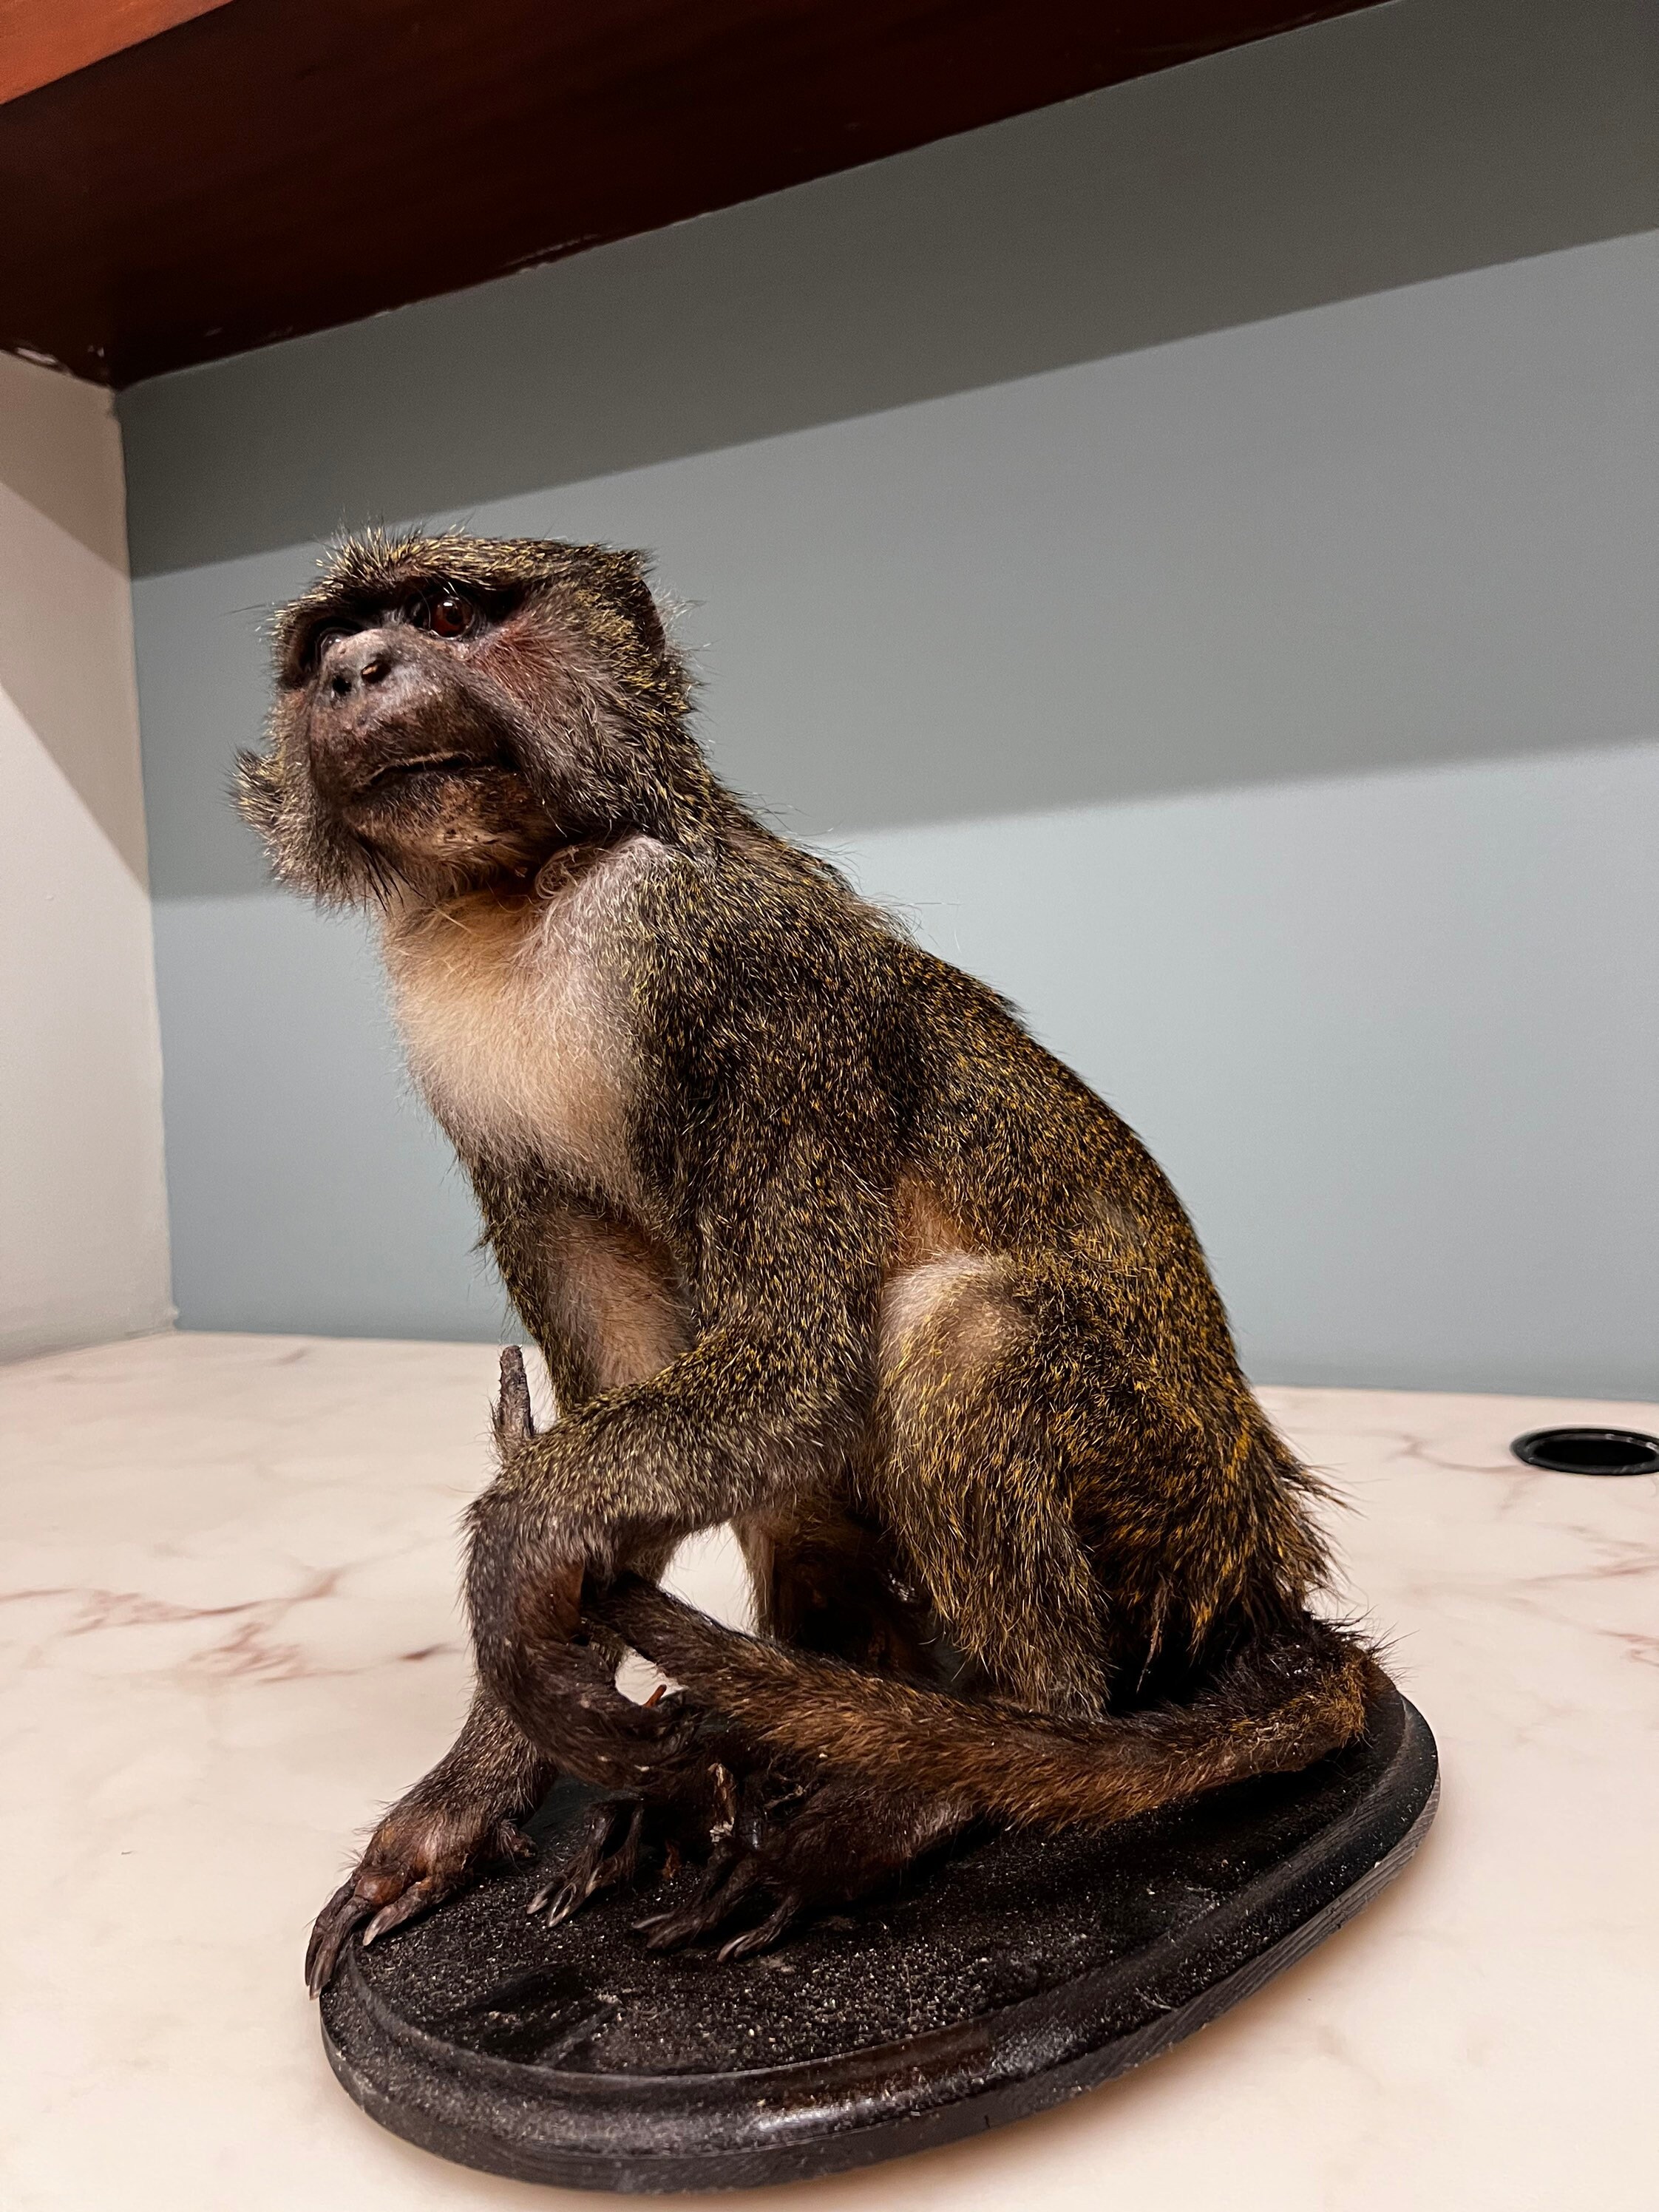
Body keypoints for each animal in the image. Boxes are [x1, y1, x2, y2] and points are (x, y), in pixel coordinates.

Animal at [236, 528, 1384, 1996]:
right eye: (329, 639)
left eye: (443, 614)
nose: (355, 674)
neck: (531, 890)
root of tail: (1259, 1559)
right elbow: (637, 1388)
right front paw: (494, 1779)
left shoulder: (737, 966)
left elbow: (789, 1369)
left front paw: (518, 1574)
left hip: (1163, 1505)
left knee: (959, 1332)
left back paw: (955, 1763)